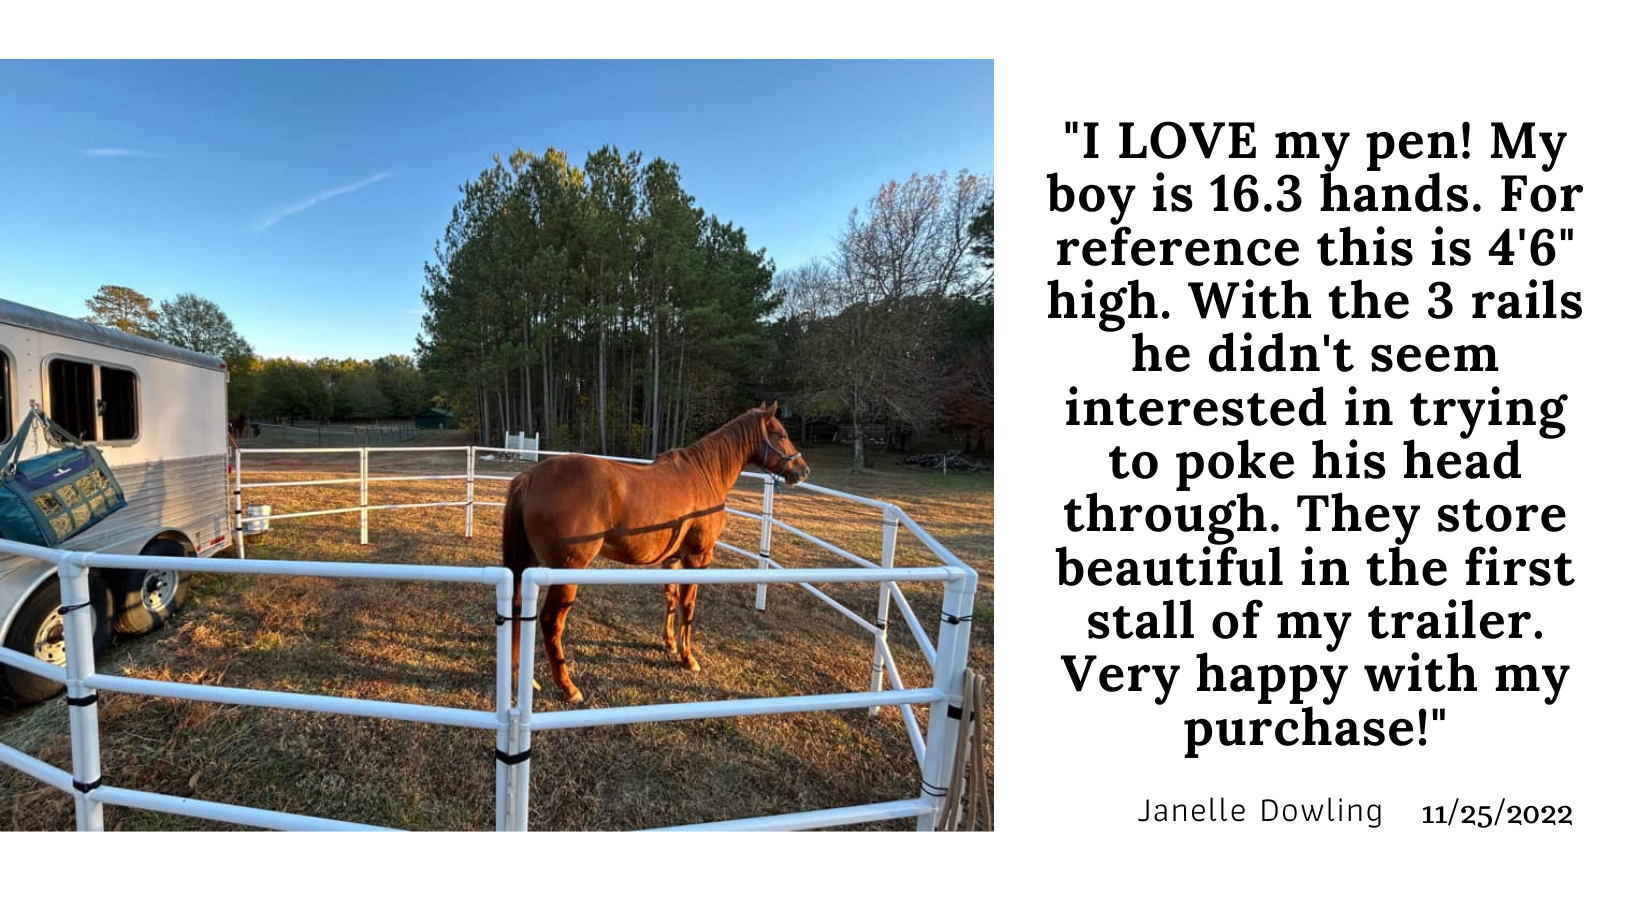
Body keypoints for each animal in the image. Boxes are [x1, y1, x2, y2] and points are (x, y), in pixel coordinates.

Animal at [502, 402, 810, 703]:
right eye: (781, 434)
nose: (803, 470)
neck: (704, 475)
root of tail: (530, 477)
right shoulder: (697, 558)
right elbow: (688, 605)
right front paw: (688, 658)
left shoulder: (672, 560)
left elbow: (671, 598)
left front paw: (670, 643)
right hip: (565, 573)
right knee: (551, 622)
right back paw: (568, 688)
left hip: (527, 565)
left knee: (516, 609)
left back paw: (520, 677)